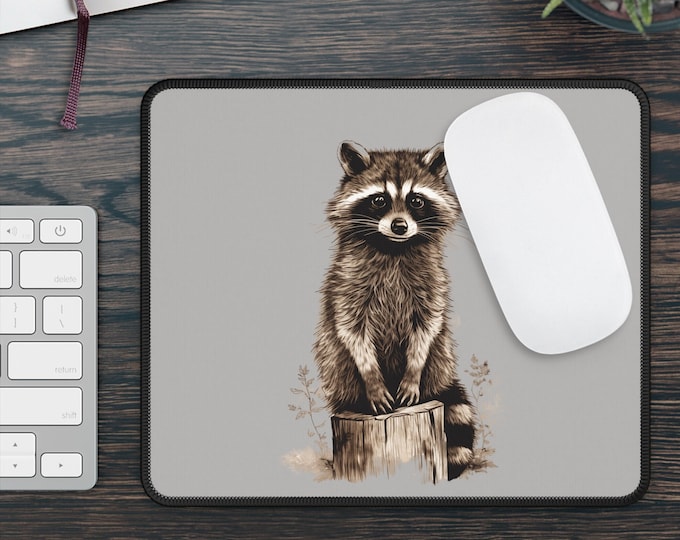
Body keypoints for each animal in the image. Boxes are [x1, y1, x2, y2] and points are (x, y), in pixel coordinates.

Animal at [314, 140, 476, 479]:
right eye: (379, 200)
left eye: (416, 200)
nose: (399, 226)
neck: (393, 246)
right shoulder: (347, 281)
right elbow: (350, 328)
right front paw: (373, 379)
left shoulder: (432, 282)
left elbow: (428, 325)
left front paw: (412, 373)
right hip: (335, 366)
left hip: (440, 359)